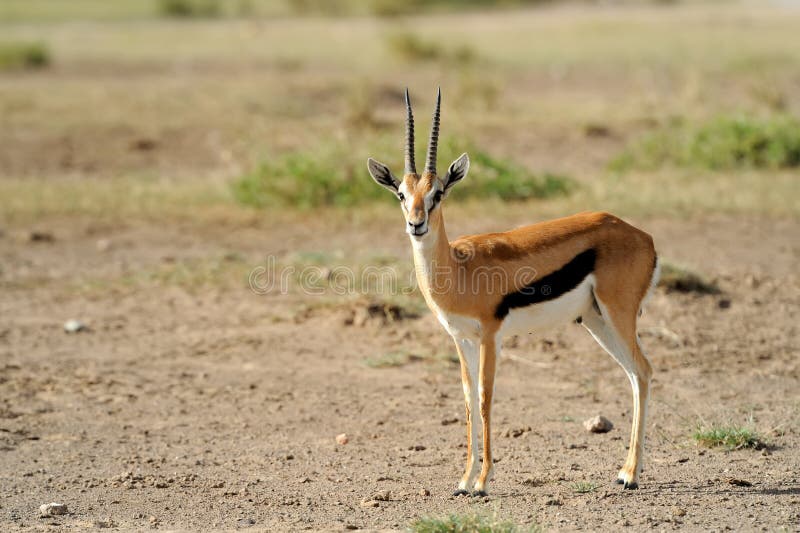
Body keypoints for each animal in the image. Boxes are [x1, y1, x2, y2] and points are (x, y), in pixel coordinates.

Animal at [366, 88, 659, 496]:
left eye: (438, 193)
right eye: (401, 194)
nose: (416, 224)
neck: (459, 270)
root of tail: (643, 237)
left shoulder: (491, 334)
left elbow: (486, 398)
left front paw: (482, 482)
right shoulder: (460, 338)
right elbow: (468, 399)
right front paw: (463, 480)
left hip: (618, 315)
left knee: (644, 370)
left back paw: (630, 475)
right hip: (597, 321)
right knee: (634, 374)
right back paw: (626, 471)